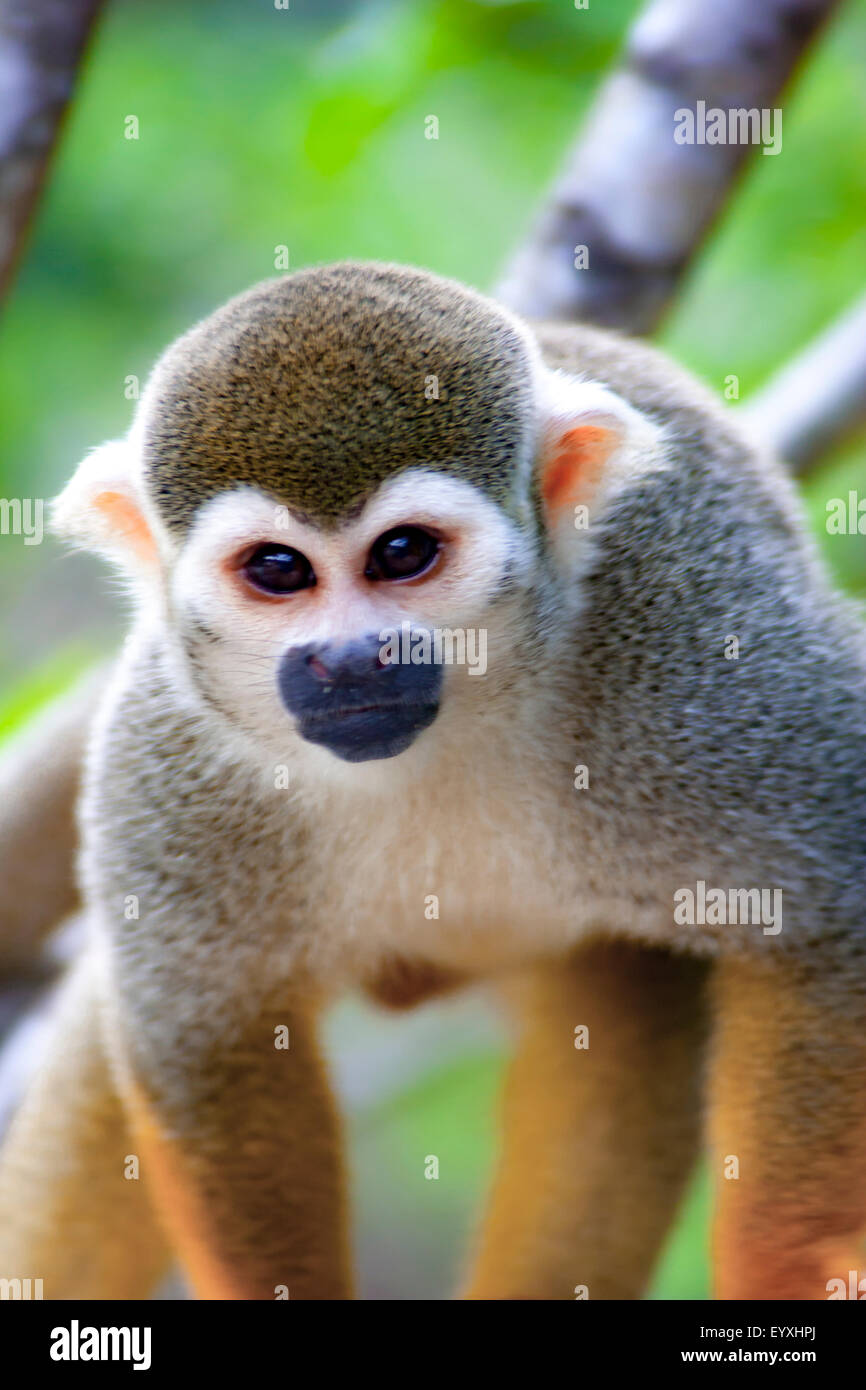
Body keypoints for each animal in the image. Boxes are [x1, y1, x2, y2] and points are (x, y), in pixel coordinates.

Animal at [0, 260, 864, 1301]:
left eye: (403, 553)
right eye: (278, 569)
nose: (350, 660)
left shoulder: (700, 660)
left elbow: (824, 925)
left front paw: (787, 1280)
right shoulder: (172, 740)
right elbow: (204, 1041)